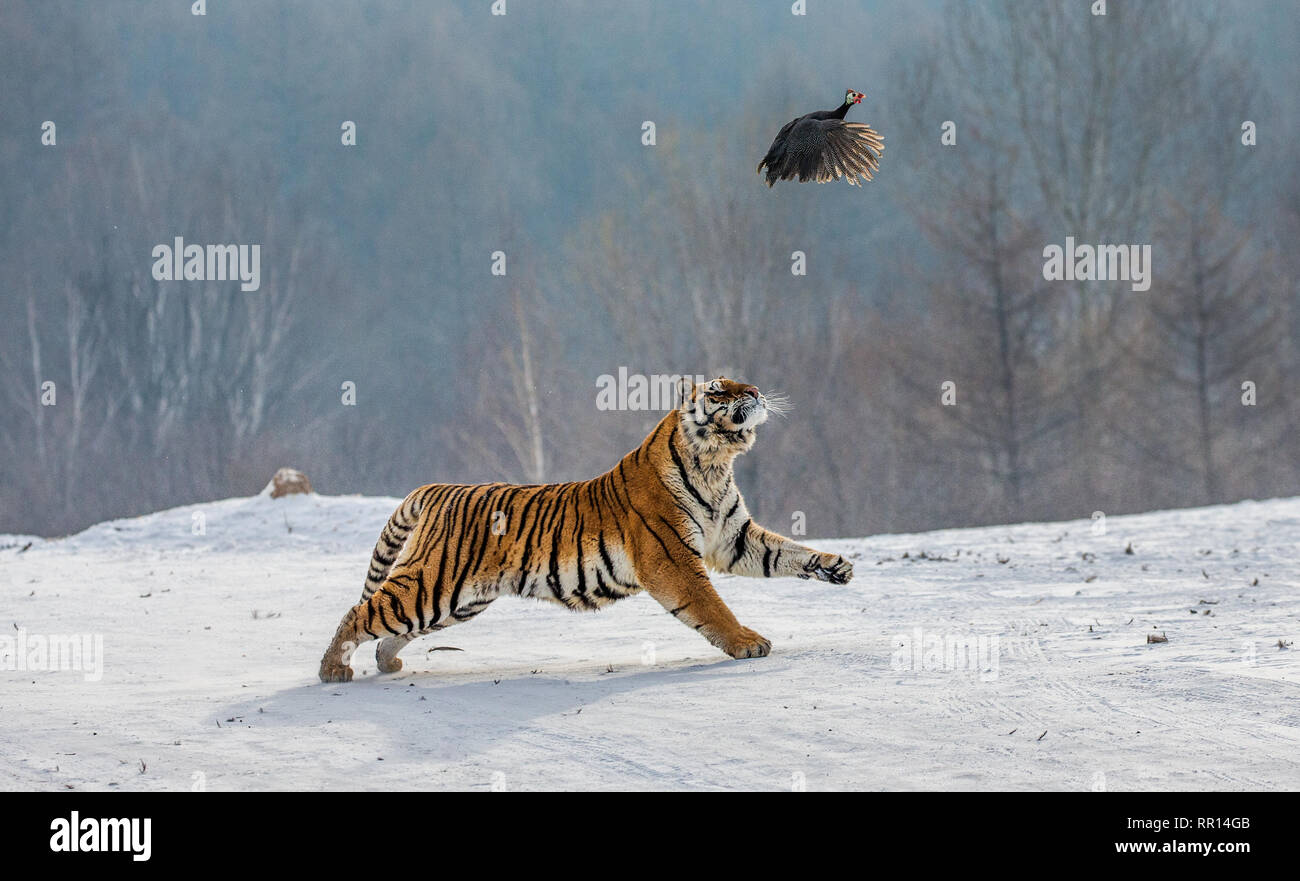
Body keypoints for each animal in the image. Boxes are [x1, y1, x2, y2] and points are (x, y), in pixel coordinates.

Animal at [318, 376, 853, 682]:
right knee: (359, 612)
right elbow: (711, 606)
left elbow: (785, 551)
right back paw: (333, 670)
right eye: (719, 389)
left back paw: (387, 664)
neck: (716, 460)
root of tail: (439, 488)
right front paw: (747, 643)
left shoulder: (732, 539)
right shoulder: (672, 559)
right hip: (432, 587)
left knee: (388, 629)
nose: (757, 393)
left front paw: (835, 566)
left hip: (459, 602)